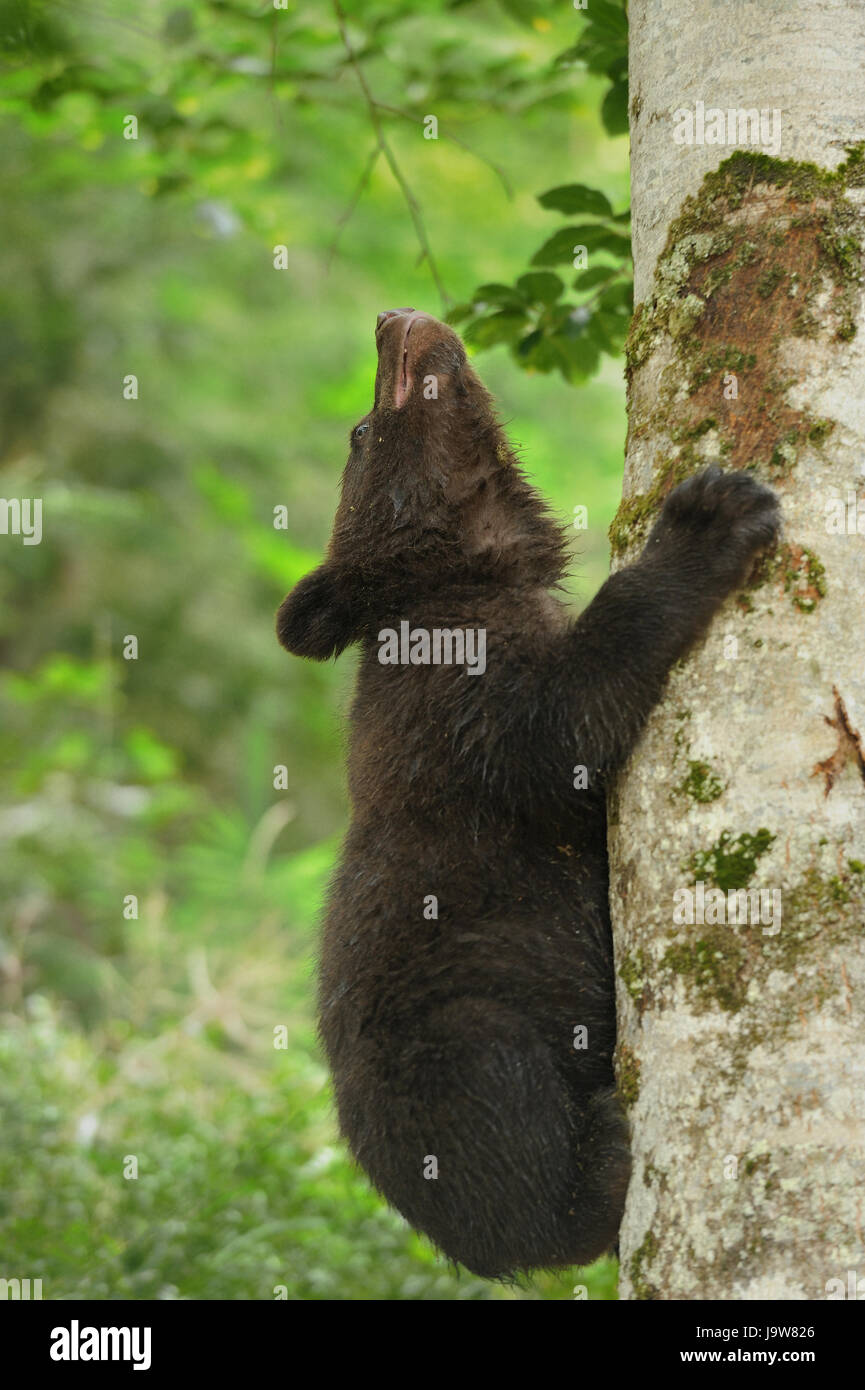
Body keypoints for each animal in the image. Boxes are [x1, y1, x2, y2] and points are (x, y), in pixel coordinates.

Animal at [276, 307, 780, 1280]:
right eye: (359, 432)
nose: (391, 319)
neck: (462, 585)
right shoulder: (456, 713)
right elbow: (566, 730)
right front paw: (710, 515)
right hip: (465, 1029)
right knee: (516, 1134)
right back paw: (604, 1155)